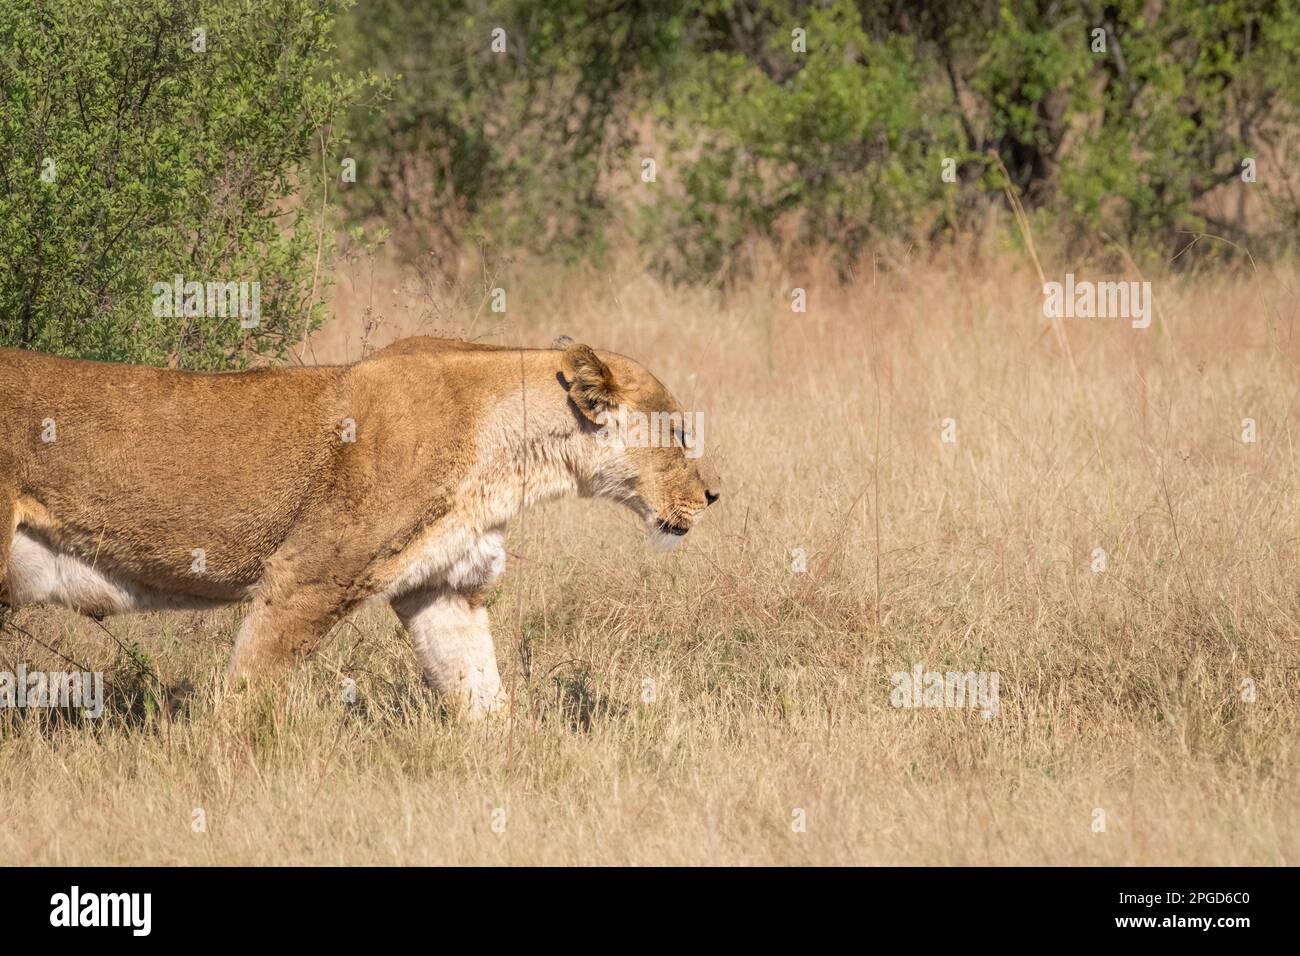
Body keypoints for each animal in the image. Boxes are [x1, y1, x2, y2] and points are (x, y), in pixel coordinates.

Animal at [0, 337, 721, 717]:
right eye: (682, 434)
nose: (714, 495)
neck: (516, 460)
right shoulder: (306, 579)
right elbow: (245, 700)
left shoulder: (444, 588)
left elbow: (482, 699)